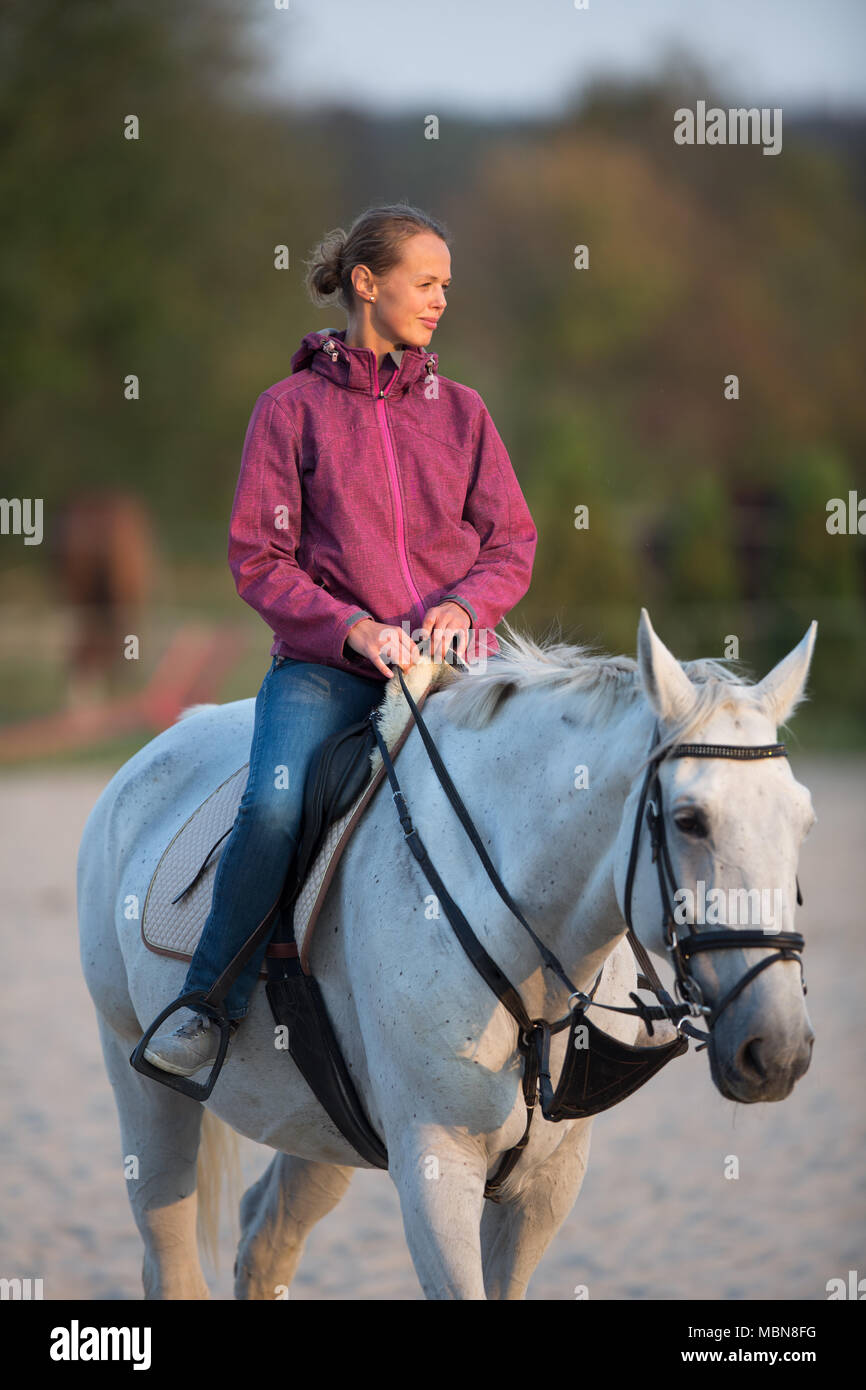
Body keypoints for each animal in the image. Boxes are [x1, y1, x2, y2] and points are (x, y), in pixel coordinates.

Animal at [76, 609, 817, 1300]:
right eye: (690, 820)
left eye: (804, 821)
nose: (777, 1050)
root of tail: (163, 743)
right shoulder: (436, 1171)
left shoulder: (547, 1184)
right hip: (139, 1079)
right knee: (170, 1253)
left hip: (322, 1128)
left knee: (265, 1240)